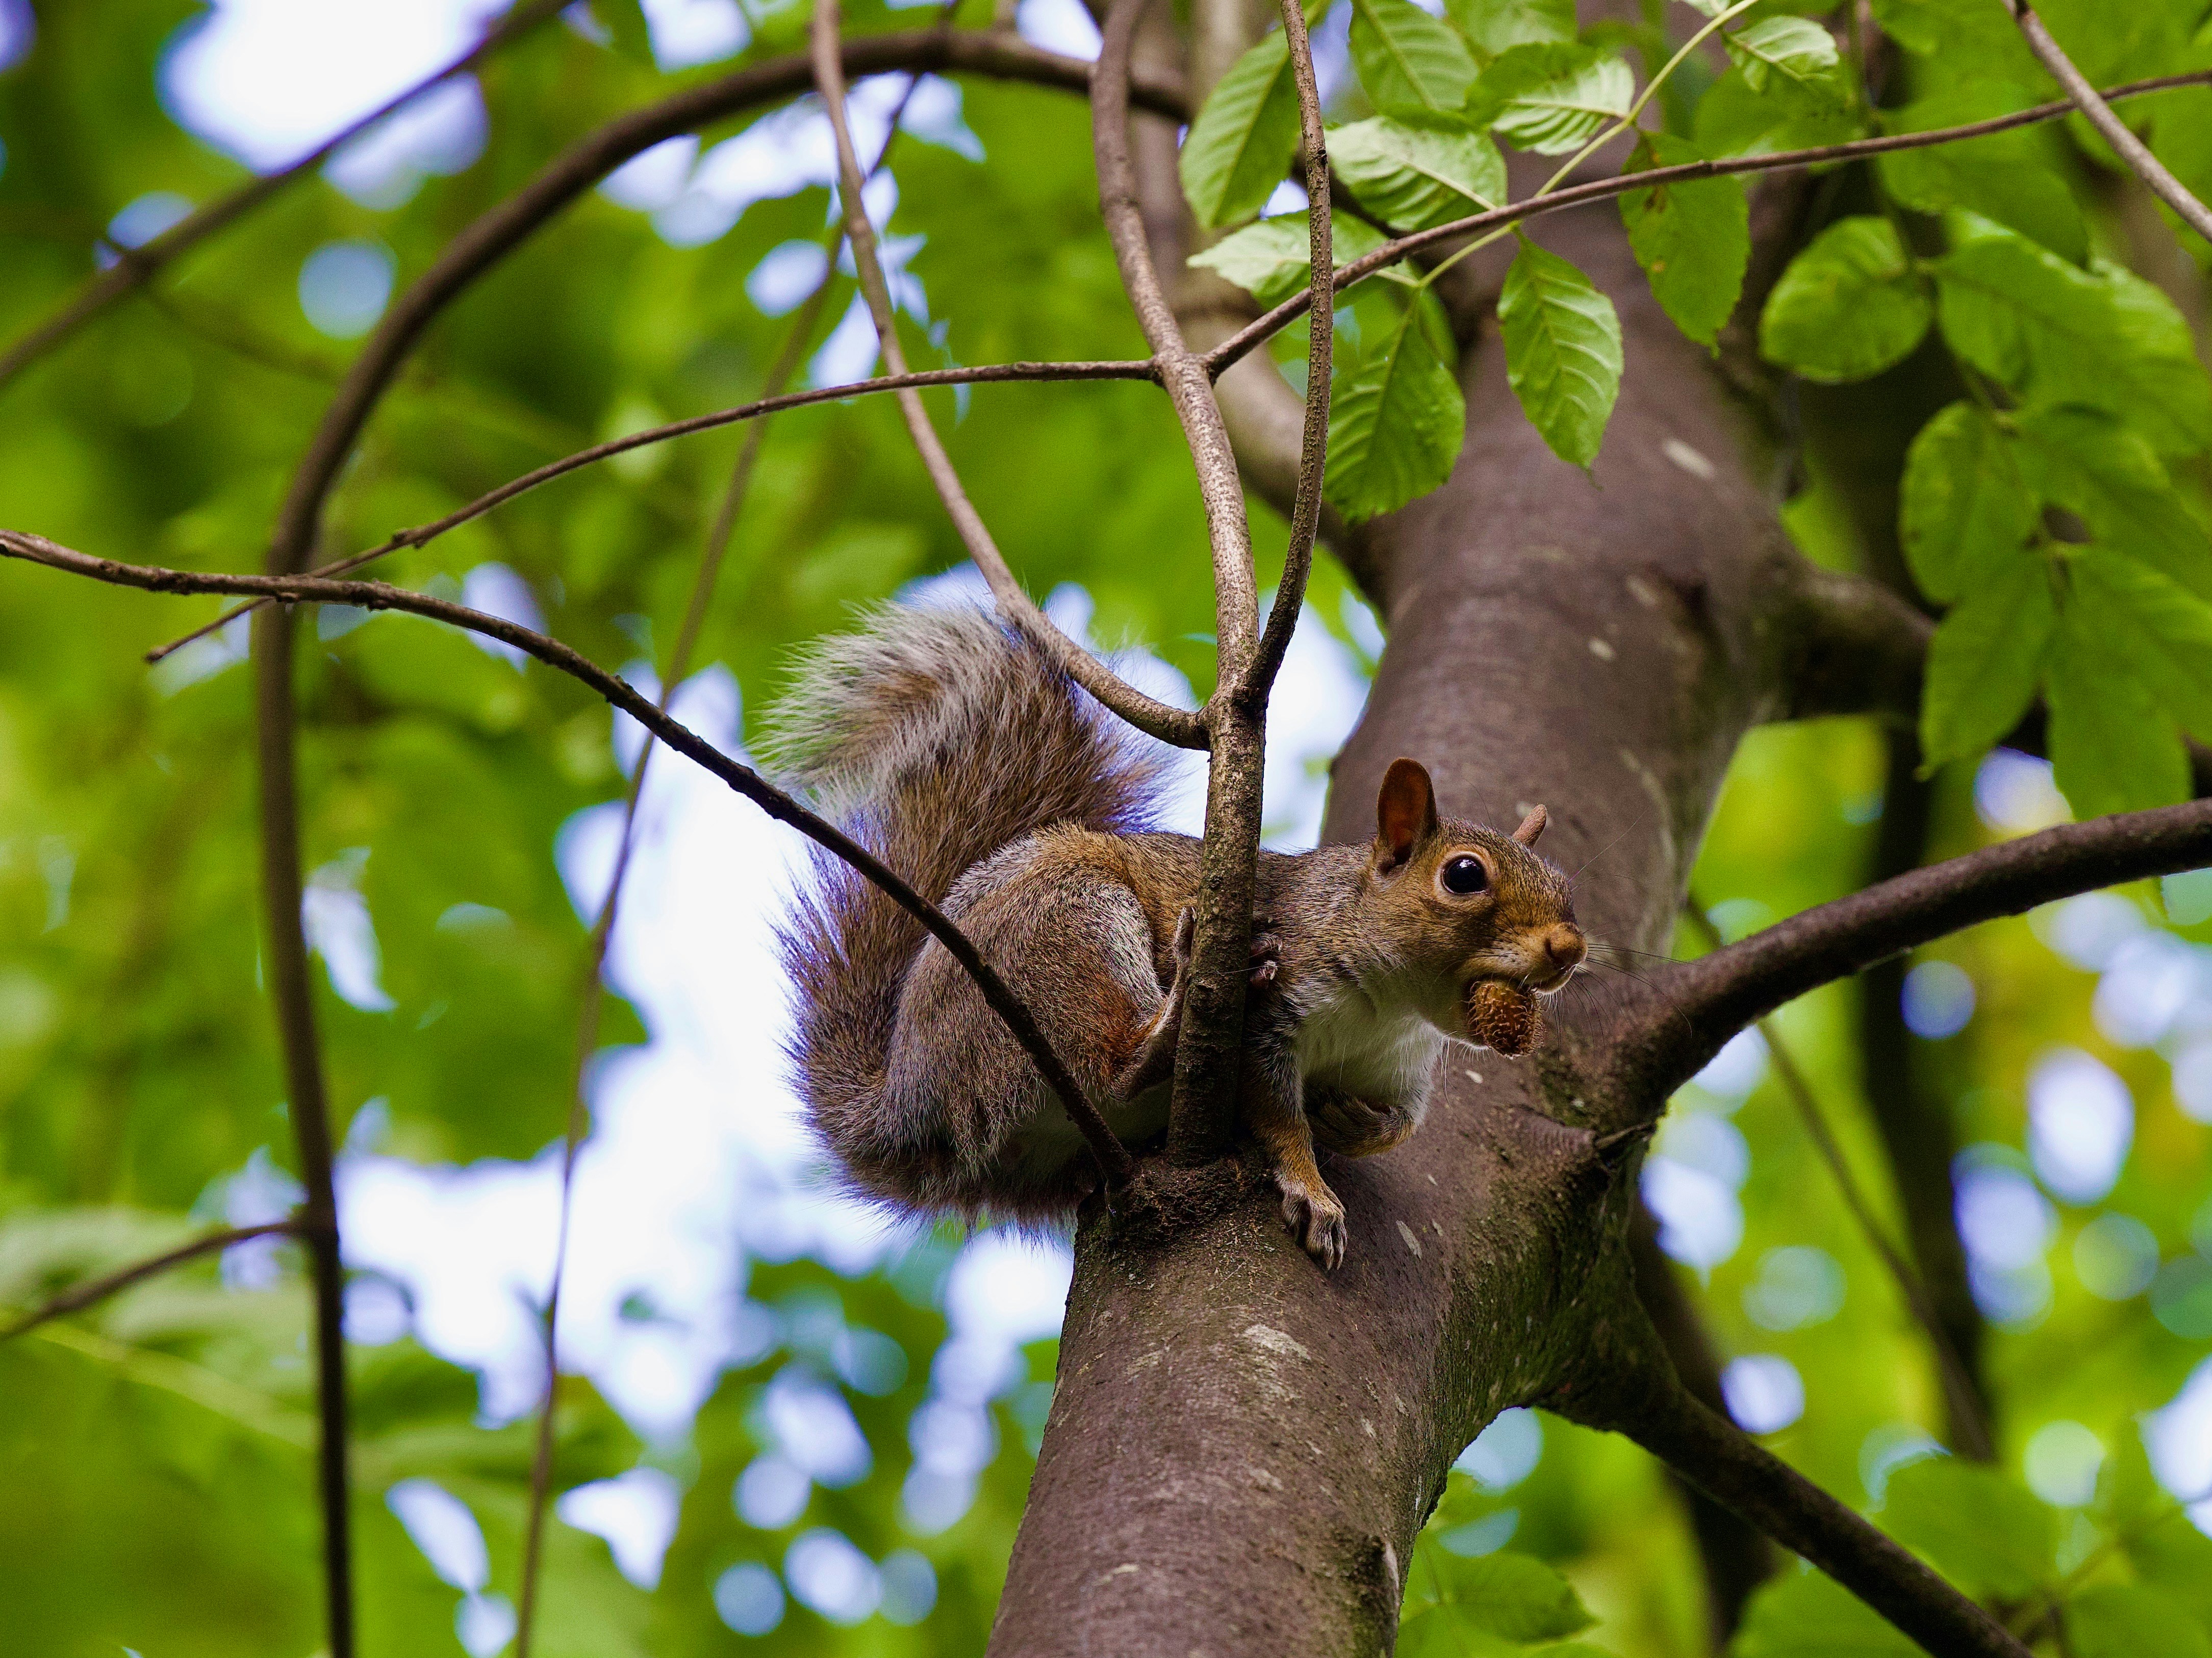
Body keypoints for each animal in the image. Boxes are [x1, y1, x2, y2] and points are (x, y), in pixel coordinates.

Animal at [768, 603, 1587, 1269]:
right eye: (1463, 874)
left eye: (1565, 886)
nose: (1569, 950)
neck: (1389, 1009)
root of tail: (909, 1097)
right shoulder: (1275, 1005)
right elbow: (1274, 1112)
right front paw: (1312, 1187)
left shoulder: (1401, 1067)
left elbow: (1400, 1128)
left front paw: (1356, 1125)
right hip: (1063, 933)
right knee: (1107, 1068)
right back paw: (1165, 1026)